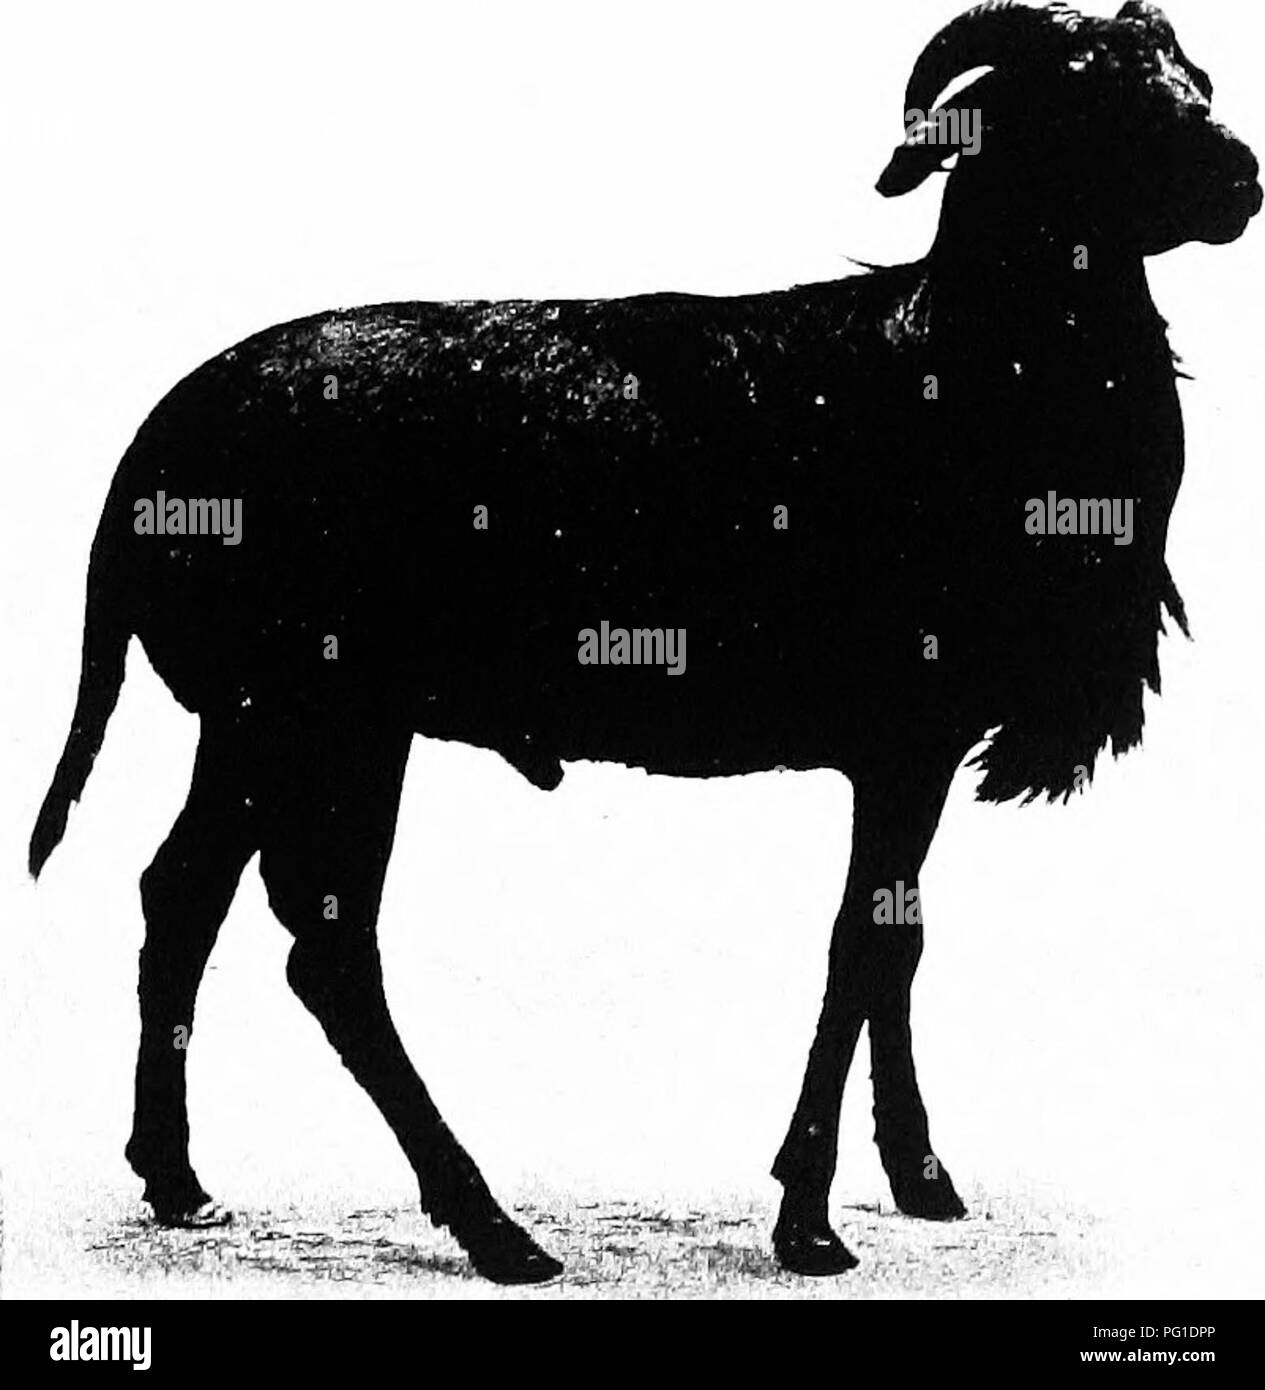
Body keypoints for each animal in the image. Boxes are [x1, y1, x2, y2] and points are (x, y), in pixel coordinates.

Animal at [28, 0, 1259, 1284]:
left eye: (1185, 71)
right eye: (1073, 88)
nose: (1239, 178)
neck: (953, 367)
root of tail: (145, 463)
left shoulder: (915, 751)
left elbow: (897, 943)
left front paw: (920, 1179)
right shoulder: (899, 739)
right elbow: (855, 949)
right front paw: (807, 1219)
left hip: (259, 726)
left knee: (183, 896)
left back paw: (180, 1183)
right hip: (320, 718)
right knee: (324, 949)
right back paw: (493, 1227)